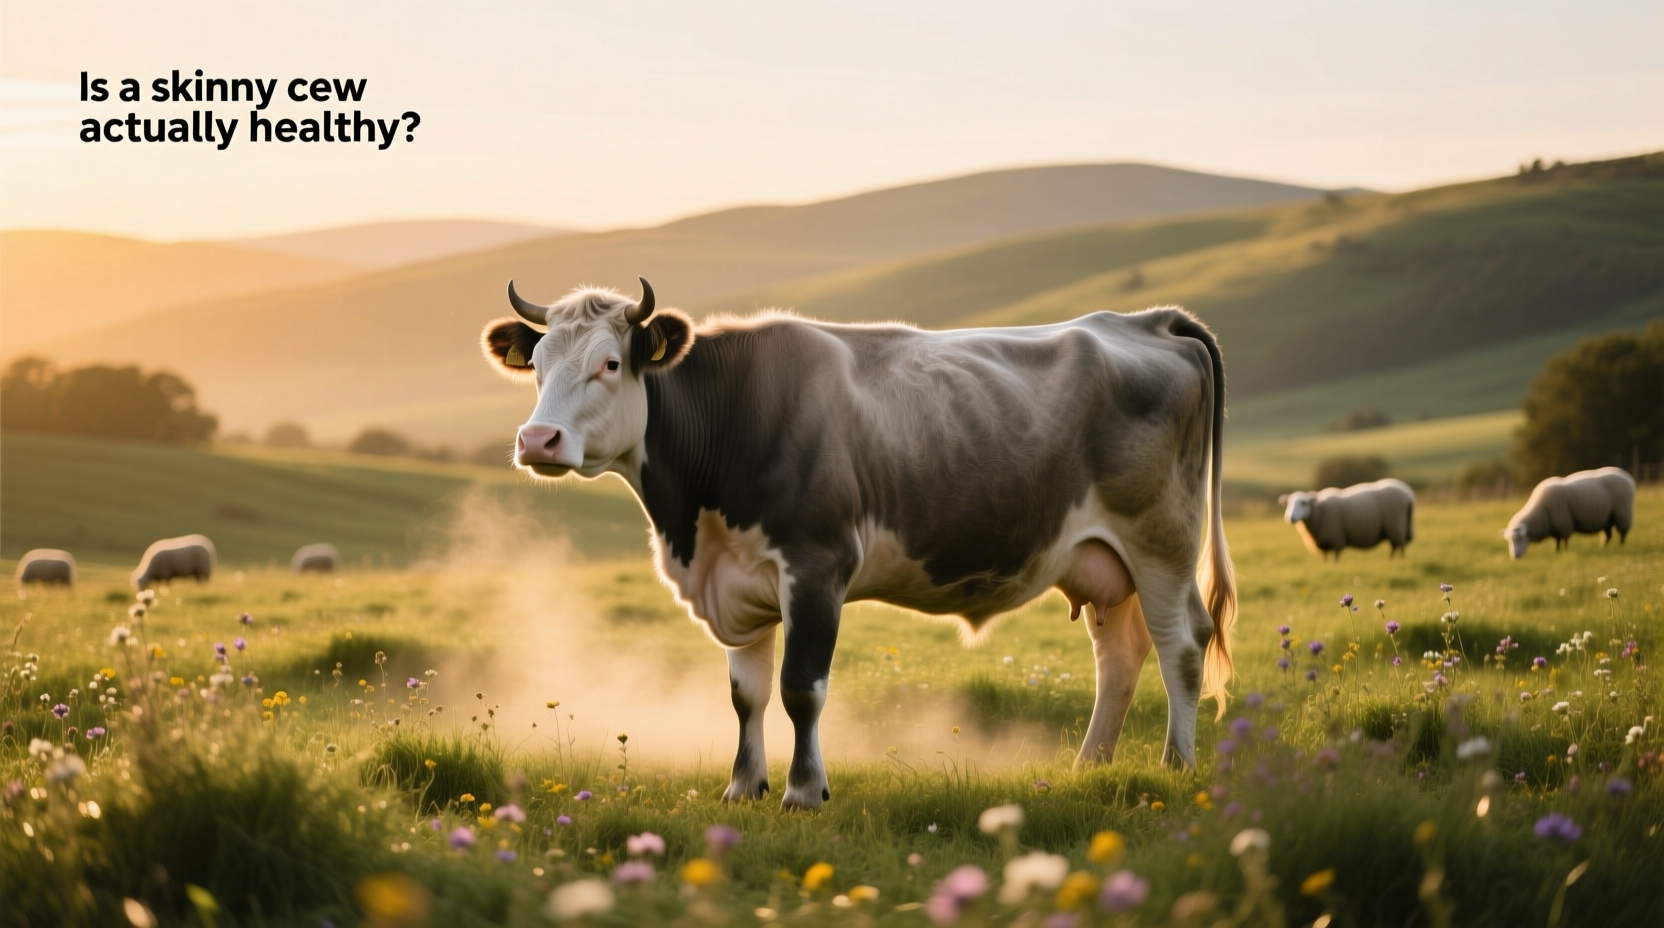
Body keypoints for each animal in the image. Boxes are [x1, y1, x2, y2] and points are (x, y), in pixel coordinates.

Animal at [480, 278, 1236, 808]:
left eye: (610, 363)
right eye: (536, 364)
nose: (537, 440)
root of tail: (1145, 321)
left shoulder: (817, 566)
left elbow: (800, 688)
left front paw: (803, 790)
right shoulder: (738, 584)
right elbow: (747, 694)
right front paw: (742, 787)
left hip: (1162, 538)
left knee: (1181, 644)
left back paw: (1176, 766)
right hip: (1102, 558)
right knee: (1120, 657)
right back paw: (1089, 766)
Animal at [1279, 479, 1416, 559]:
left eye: (1303, 503)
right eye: (1288, 503)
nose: (1290, 518)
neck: (1319, 510)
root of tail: (1408, 495)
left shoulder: (1336, 539)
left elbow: (1335, 558)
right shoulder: (1323, 543)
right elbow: (1325, 559)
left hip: (1396, 525)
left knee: (1400, 546)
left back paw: (1399, 561)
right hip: (1395, 528)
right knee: (1395, 546)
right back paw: (1391, 559)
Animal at [1504, 467, 1635, 559]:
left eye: (1519, 538)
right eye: (1510, 539)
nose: (1515, 556)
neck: (1542, 511)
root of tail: (1628, 479)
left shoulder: (1563, 523)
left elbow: (1565, 539)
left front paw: (1565, 551)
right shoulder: (1556, 526)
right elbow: (1557, 540)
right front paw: (1556, 551)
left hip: (1622, 512)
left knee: (1623, 532)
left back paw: (1621, 546)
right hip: (1606, 518)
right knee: (1608, 535)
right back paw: (1603, 547)